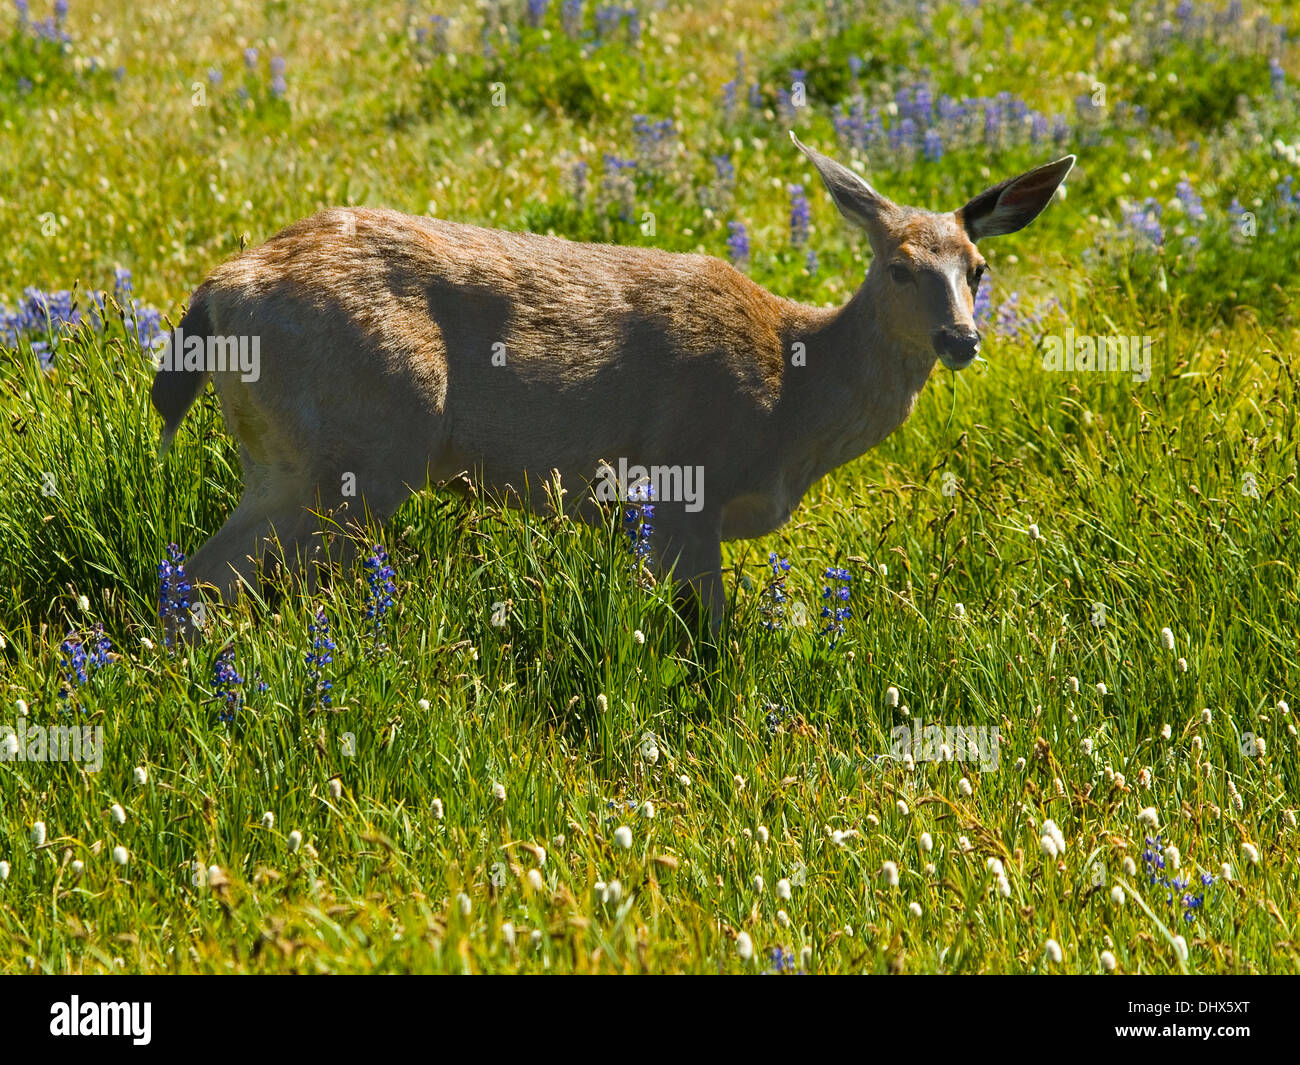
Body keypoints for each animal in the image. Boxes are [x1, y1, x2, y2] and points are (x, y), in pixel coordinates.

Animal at [151, 133, 1074, 636]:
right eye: (898, 267)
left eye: (979, 268)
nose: (962, 338)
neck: (793, 395)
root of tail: (217, 292)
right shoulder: (683, 485)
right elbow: (710, 631)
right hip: (364, 450)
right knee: (231, 577)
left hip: (286, 460)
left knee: (205, 577)